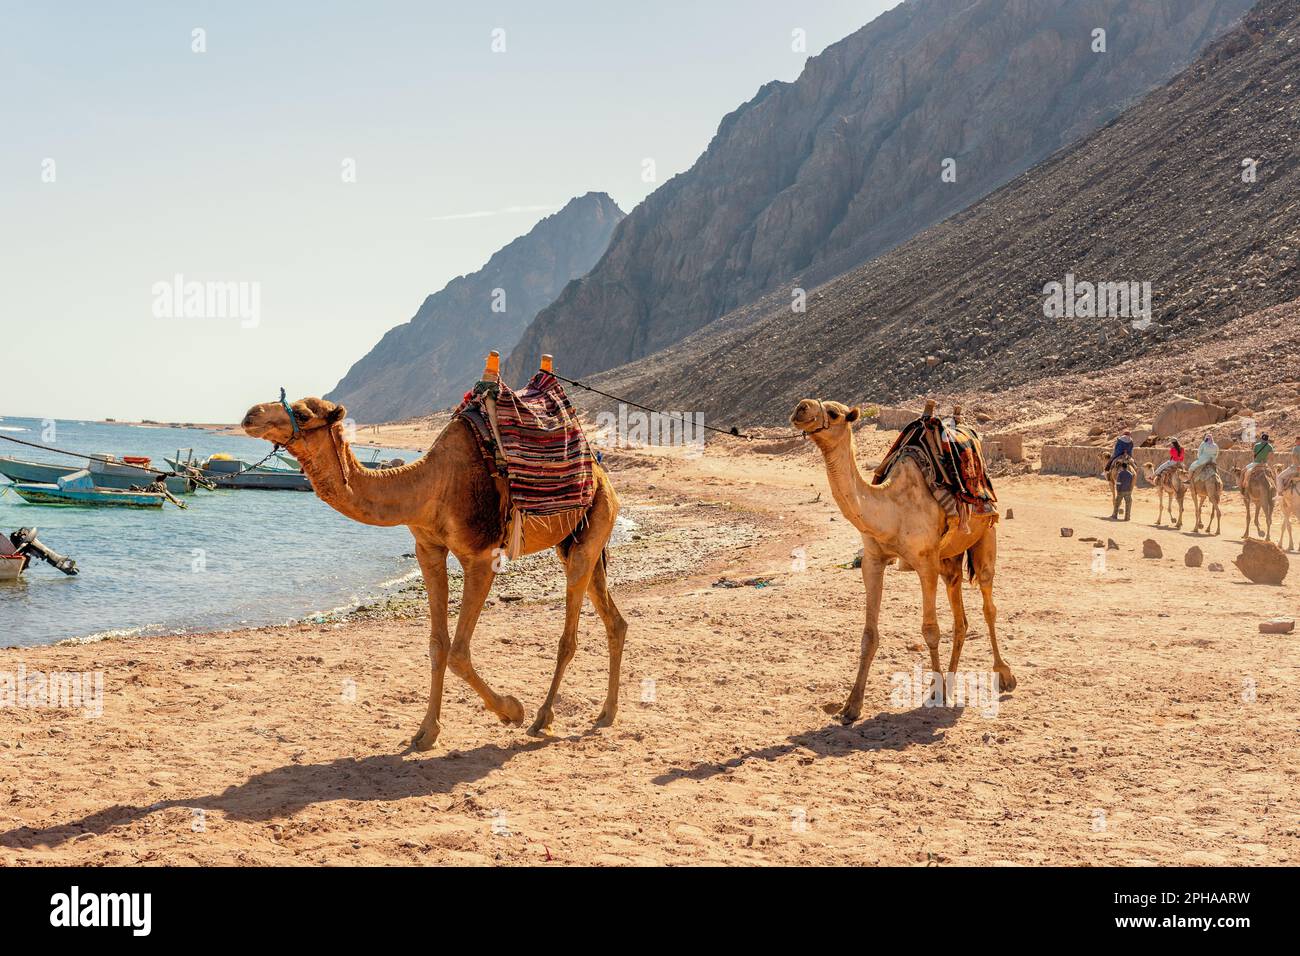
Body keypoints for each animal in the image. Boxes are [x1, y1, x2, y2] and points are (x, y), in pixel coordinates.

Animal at [240, 388, 627, 751]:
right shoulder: (428, 549)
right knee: (615, 621)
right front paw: (426, 732)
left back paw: (543, 718)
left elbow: (457, 653)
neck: (431, 485)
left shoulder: (481, 557)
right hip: (575, 543)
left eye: (304, 414)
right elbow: (438, 645)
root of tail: (601, 475)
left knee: (568, 637)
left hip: (595, 522)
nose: (250, 414)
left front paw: (512, 710)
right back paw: (606, 713)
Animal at [790, 398, 1015, 722]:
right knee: (961, 618)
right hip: (950, 560)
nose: (801, 408)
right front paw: (851, 706)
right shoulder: (873, 560)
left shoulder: (925, 562)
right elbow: (869, 635)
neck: (891, 509)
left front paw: (934, 695)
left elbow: (930, 630)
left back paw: (1003, 675)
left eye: (833, 412)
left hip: (986, 536)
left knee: (988, 604)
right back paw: (949, 682)